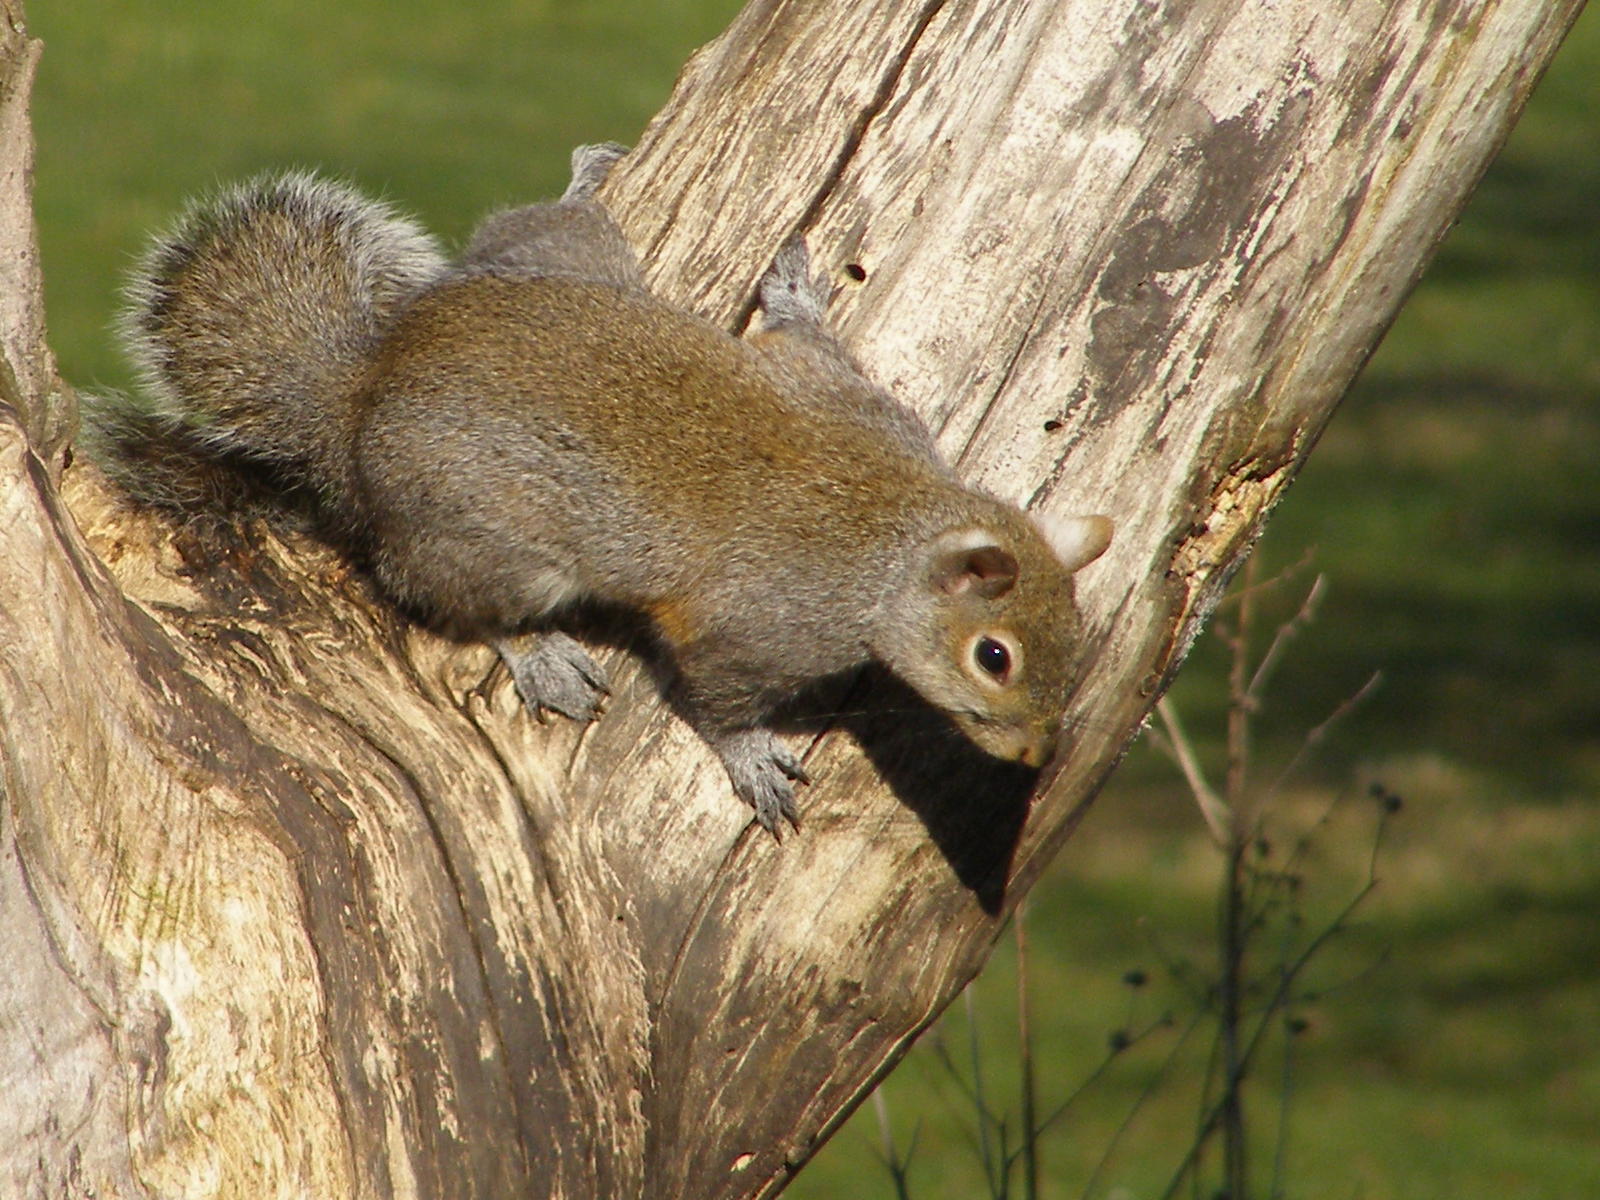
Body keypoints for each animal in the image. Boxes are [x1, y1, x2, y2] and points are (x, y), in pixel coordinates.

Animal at [93, 143, 1113, 836]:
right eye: (994, 657)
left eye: (1080, 639)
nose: (1033, 753)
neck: (895, 529)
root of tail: (364, 393)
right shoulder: (752, 629)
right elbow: (718, 698)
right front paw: (753, 761)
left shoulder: (864, 407)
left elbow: (801, 345)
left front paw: (796, 292)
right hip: (492, 540)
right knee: (449, 600)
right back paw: (539, 651)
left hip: (559, 258)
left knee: (533, 222)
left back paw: (581, 183)